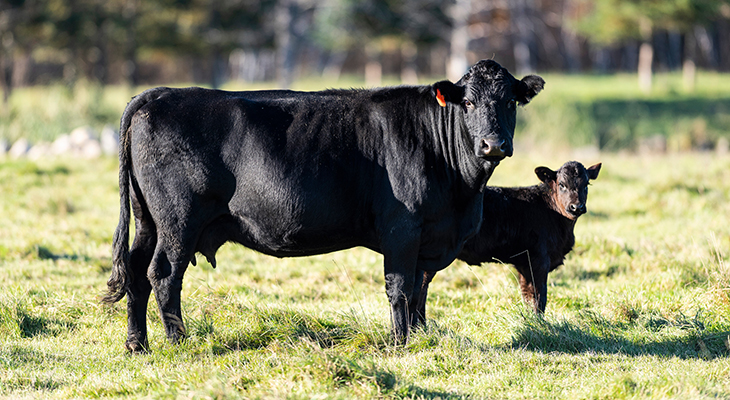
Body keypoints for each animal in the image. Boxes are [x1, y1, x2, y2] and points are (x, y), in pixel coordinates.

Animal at [103, 59, 544, 352]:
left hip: (149, 221)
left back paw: (137, 345)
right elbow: (401, 288)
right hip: (178, 220)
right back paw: (179, 342)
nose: (493, 144)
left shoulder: (431, 240)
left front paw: (421, 337)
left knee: (137, 273)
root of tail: (159, 93)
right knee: (163, 274)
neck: (462, 195)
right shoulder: (403, 230)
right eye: (467, 103)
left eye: (510, 101)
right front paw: (400, 344)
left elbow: (421, 290)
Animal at [415, 161, 601, 324]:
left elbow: (527, 296)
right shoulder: (539, 260)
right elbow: (540, 296)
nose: (576, 207)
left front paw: (532, 323)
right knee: (420, 289)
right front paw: (542, 325)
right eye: (561, 184)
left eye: (586, 185)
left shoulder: (524, 264)